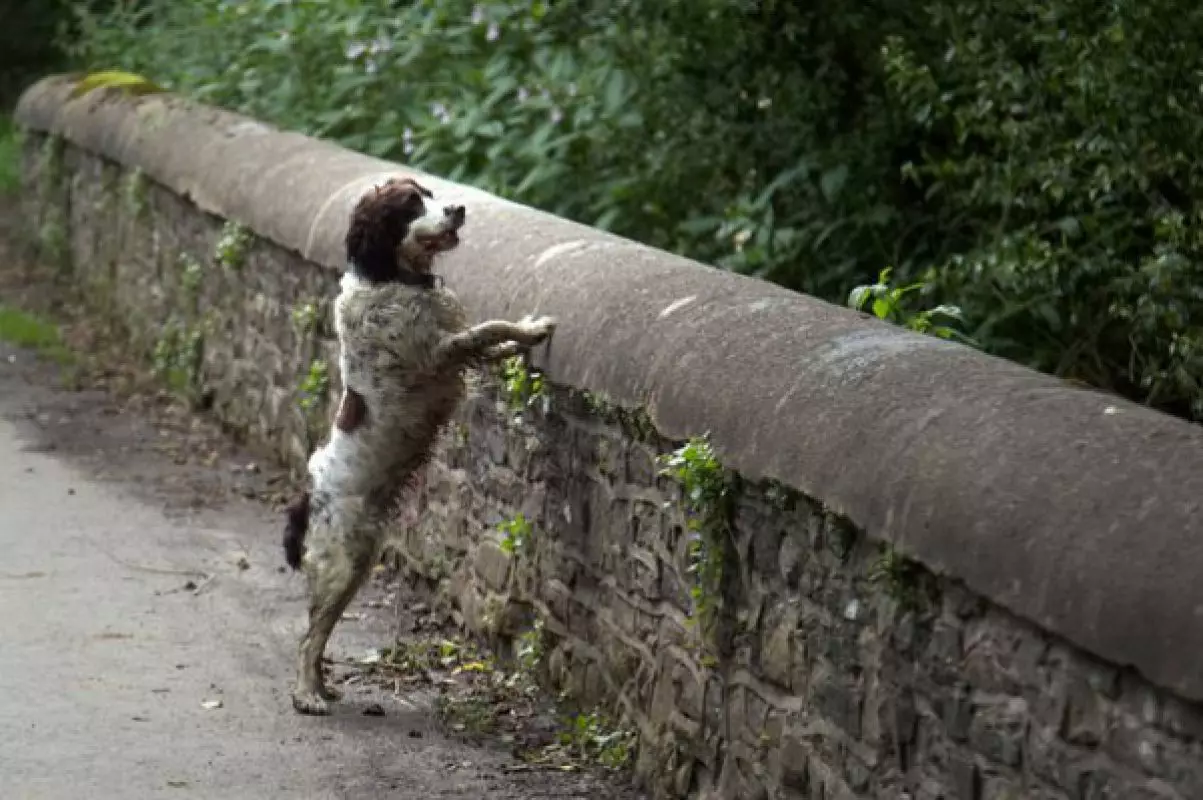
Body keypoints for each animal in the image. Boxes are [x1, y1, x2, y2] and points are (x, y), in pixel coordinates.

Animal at [283, 178, 555, 712]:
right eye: (410, 204)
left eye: (428, 193)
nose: (460, 208)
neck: (392, 277)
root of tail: (310, 500)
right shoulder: (438, 352)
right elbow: (488, 329)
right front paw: (531, 329)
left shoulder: (449, 344)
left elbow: (489, 342)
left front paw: (519, 343)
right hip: (340, 564)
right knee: (307, 638)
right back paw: (307, 695)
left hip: (359, 563)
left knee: (319, 632)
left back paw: (322, 685)